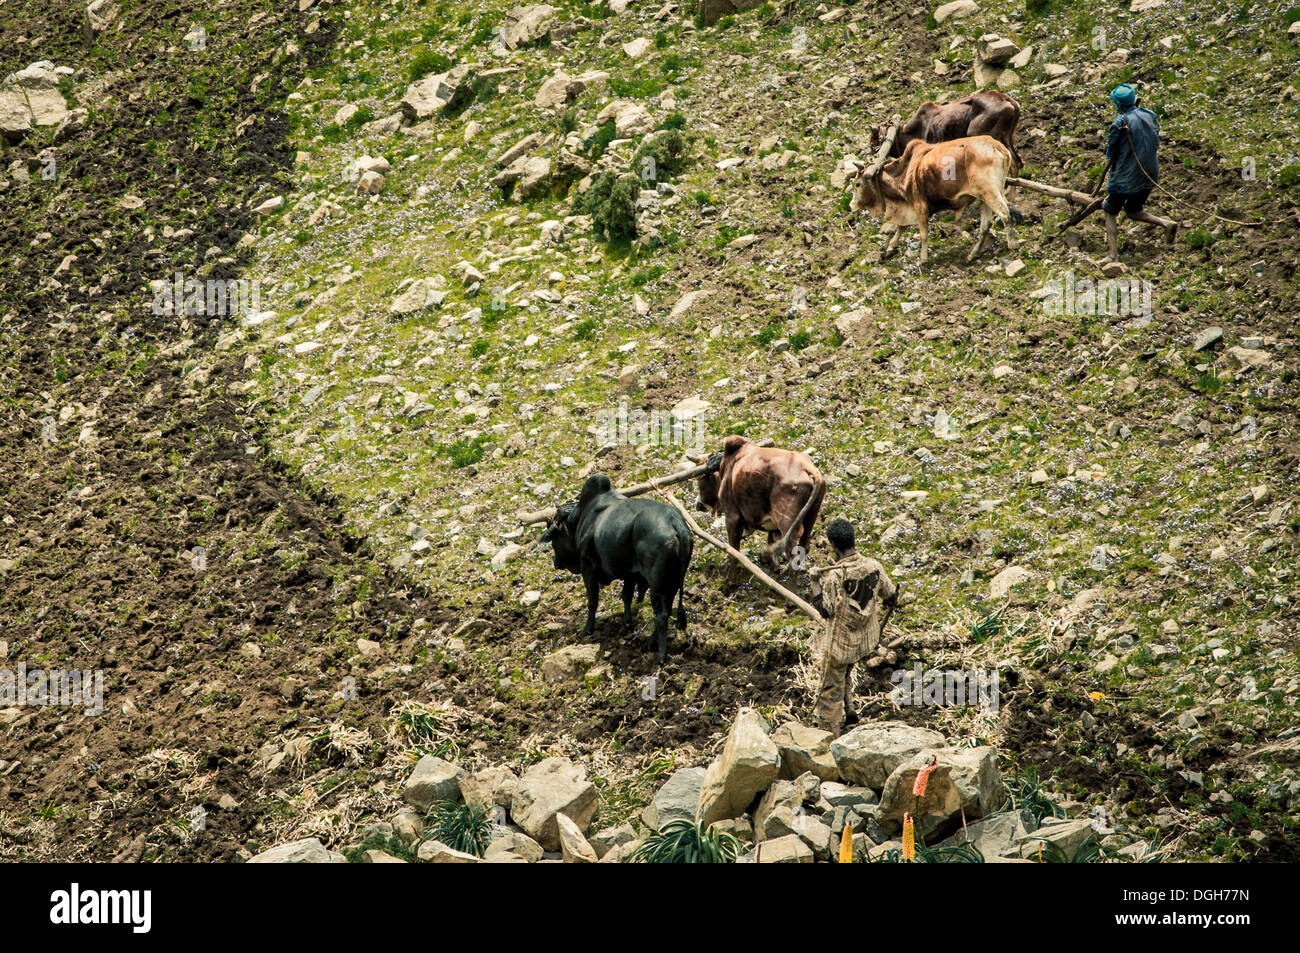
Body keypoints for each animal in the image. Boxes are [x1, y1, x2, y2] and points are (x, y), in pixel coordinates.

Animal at [539, 474, 692, 662]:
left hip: (658, 585)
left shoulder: (588, 568)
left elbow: (592, 601)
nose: (555, 562)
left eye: (555, 538)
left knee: (662, 616)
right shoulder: (630, 574)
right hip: (672, 583)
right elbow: (626, 597)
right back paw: (649, 643)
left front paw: (587, 629)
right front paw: (625, 625)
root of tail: (675, 523)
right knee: (667, 611)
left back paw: (661, 655)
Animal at [696, 435, 827, 584]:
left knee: (793, 554)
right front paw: (774, 567)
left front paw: (730, 582)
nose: (698, 505)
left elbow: (734, 551)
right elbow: (770, 541)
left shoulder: (732, 517)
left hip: (787, 523)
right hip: (812, 515)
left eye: (701, 480)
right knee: (804, 546)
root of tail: (807, 468)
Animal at [850, 135, 1016, 264]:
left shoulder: (919, 205)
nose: (852, 205)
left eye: (857, 184)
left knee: (1004, 213)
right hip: (984, 198)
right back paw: (972, 255)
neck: (906, 171)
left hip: (990, 192)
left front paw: (923, 259)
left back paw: (1013, 245)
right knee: (985, 225)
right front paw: (890, 247)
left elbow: (923, 234)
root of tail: (997, 146)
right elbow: (902, 227)